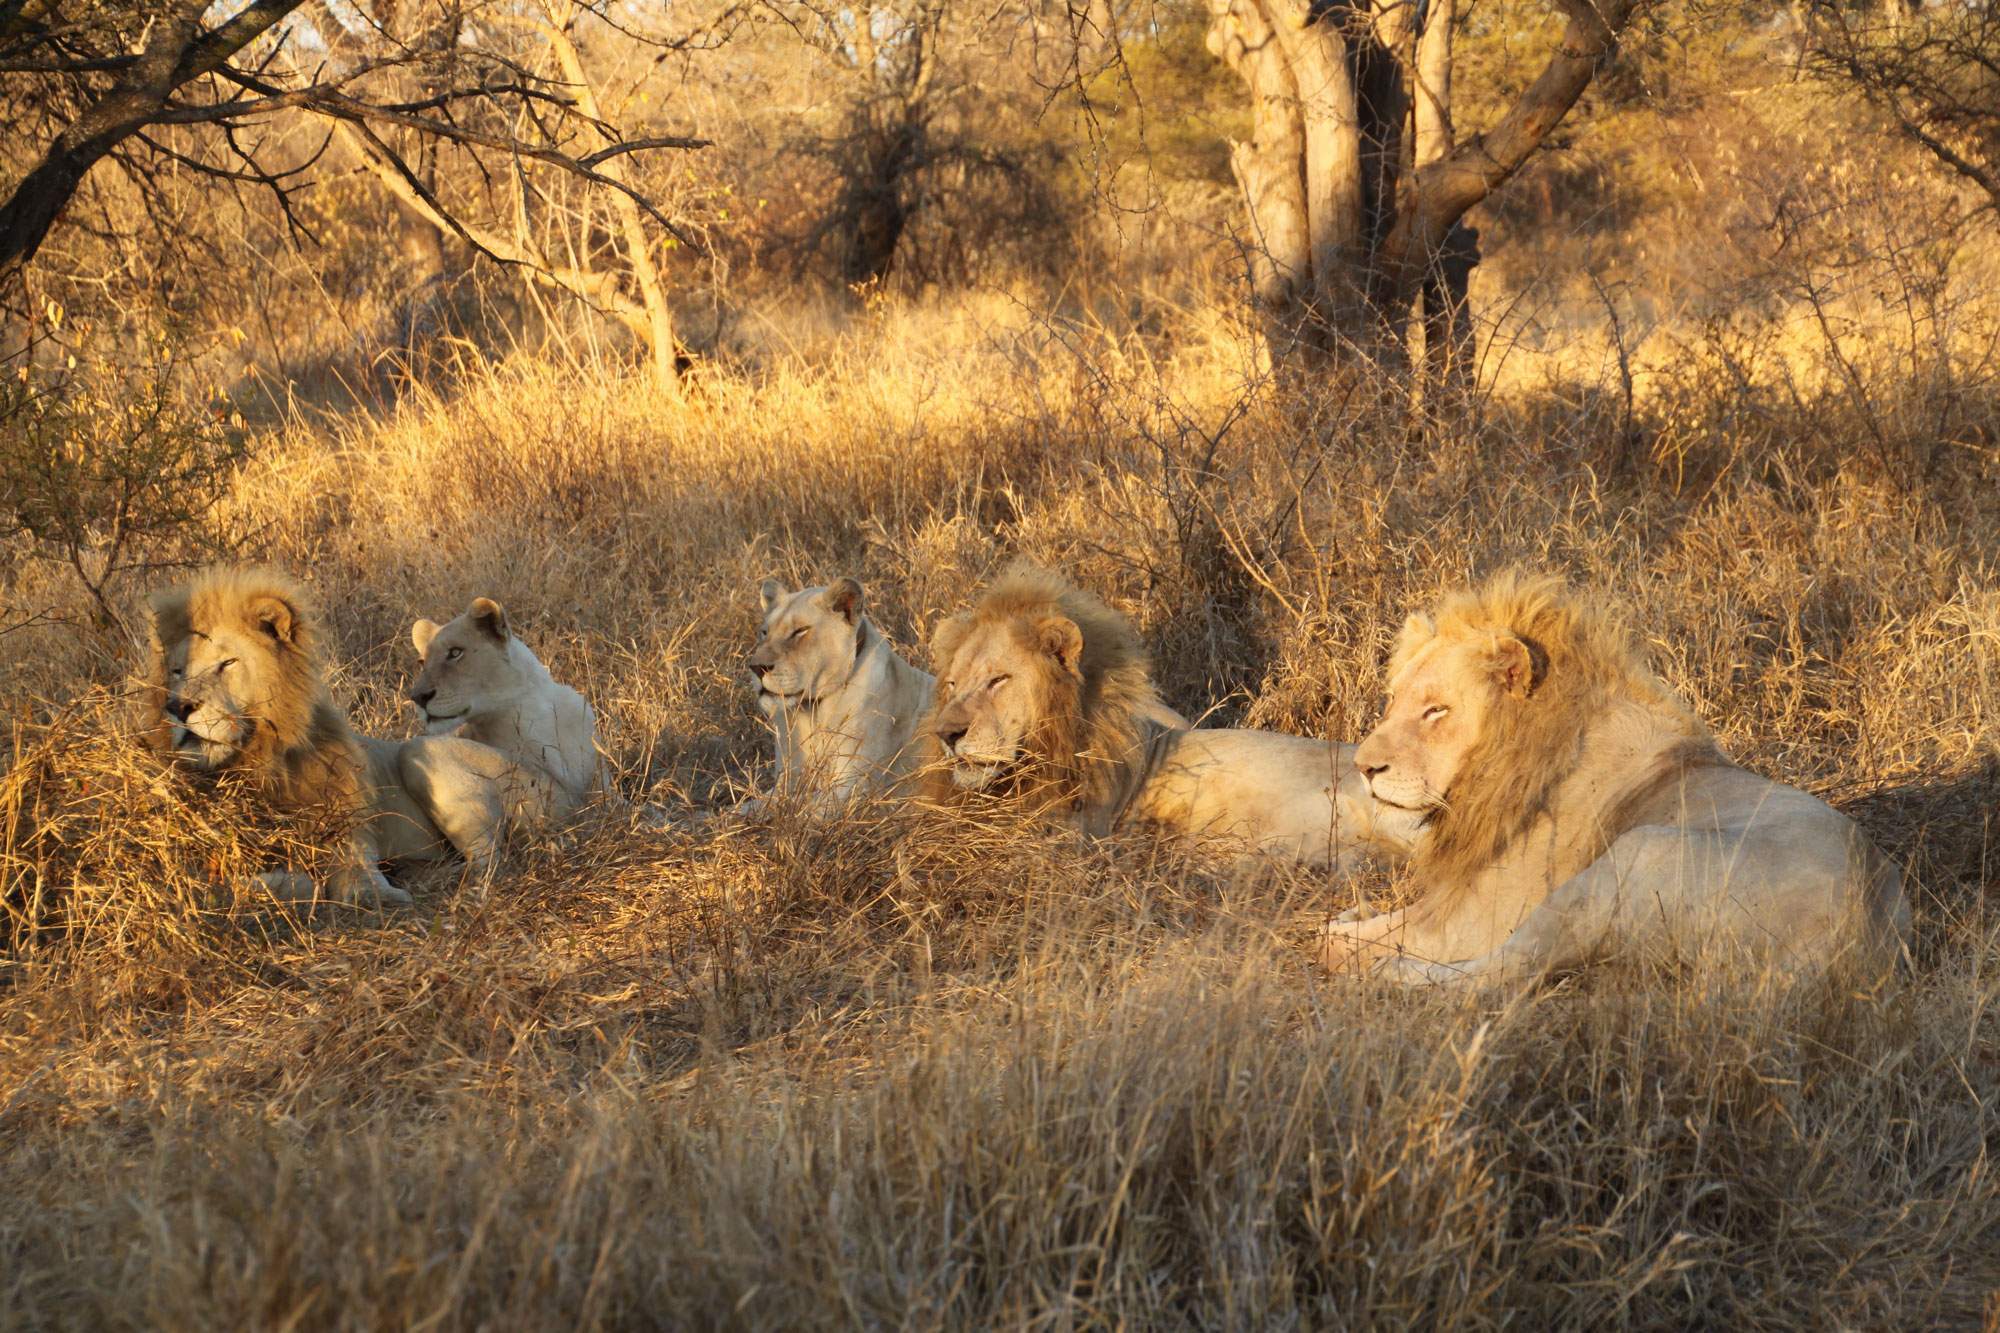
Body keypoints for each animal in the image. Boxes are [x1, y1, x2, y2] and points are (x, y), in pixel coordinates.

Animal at [745, 577, 936, 813]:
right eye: (764, 632)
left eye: (800, 631)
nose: (756, 668)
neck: (812, 710)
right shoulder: (785, 783)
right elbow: (740, 809)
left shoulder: (851, 792)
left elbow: (800, 809)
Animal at [1316, 572, 1910, 984]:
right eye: (1393, 700)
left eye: (1436, 710)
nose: (1363, 766)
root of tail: (1856, 936)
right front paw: (1359, 909)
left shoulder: (1480, 917)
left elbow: (1364, 934)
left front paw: (1350, 934)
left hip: (1628, 857)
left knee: (1504, 973)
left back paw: (1392, 976)